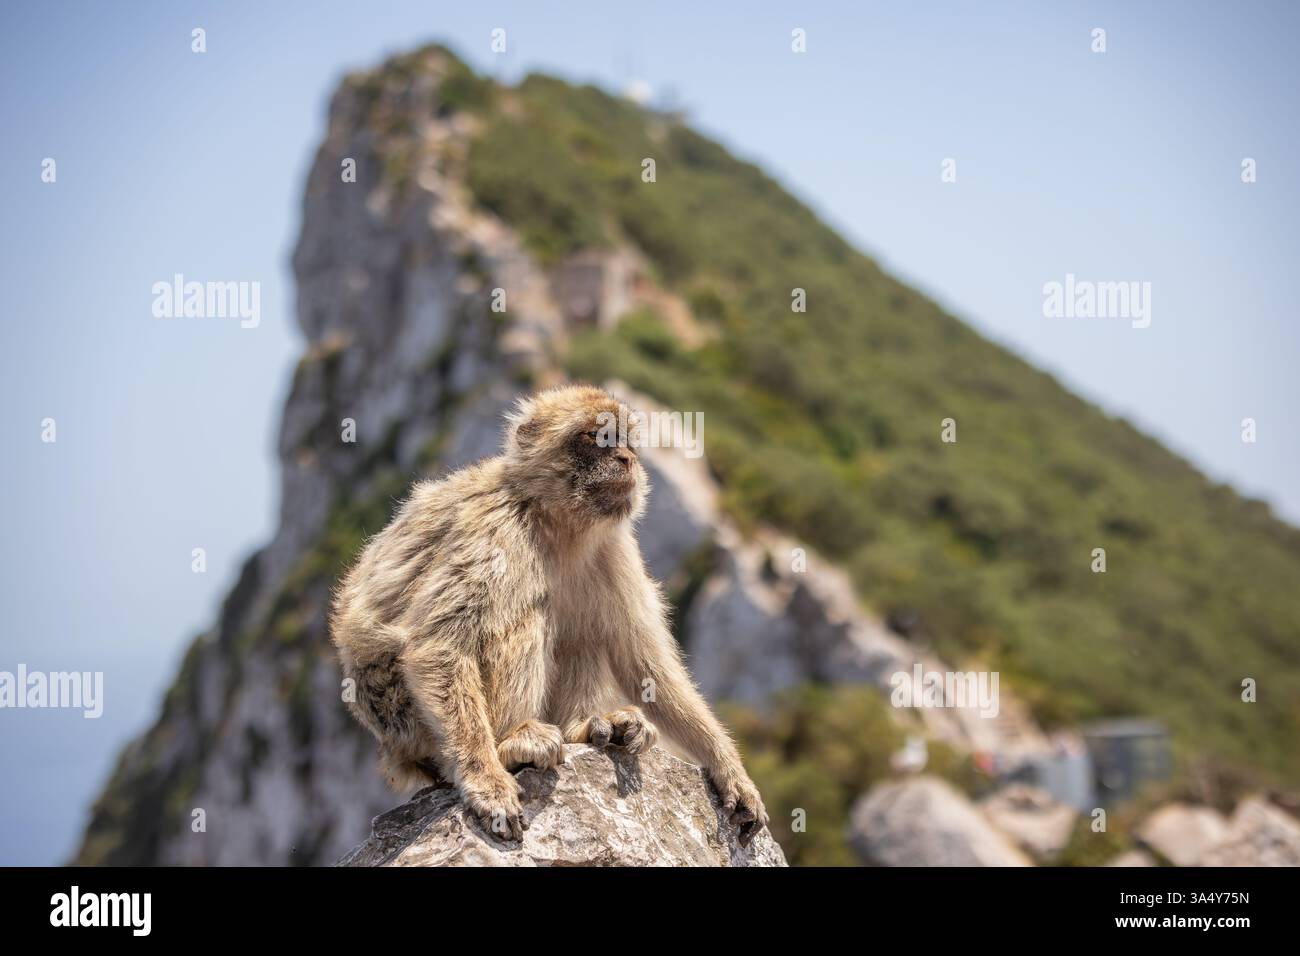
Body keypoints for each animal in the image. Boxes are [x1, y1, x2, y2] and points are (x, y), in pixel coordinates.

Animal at [330, 384, 769, 846]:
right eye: (598, 438)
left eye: (627, 440)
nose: (627, 459)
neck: (556, 520)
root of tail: (394, 753)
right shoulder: (494, 532)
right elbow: (441, 646)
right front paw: (486, 781)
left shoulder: (614, 547)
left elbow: (643, 662)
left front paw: (727, 767)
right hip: (400, 713)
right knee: (523, 618)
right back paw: (512, 743)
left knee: (584, 631)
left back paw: (589, 728)